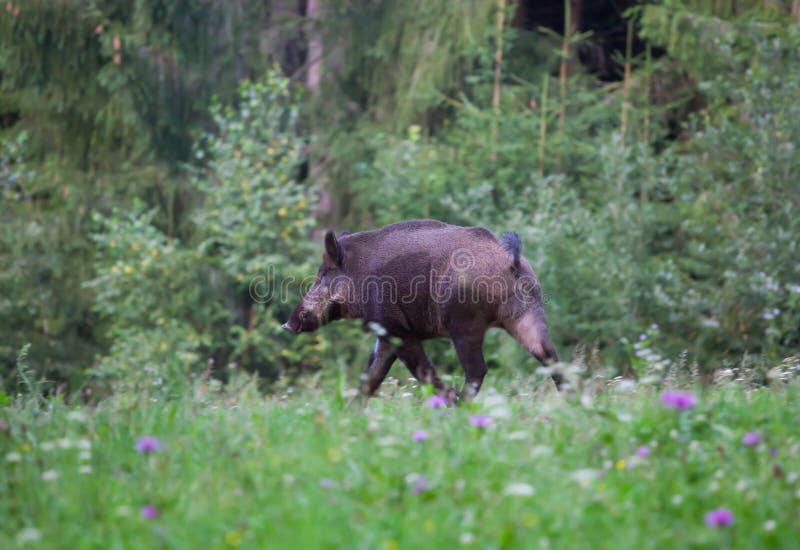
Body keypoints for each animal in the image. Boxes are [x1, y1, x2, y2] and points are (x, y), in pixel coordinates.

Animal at [281, 219, 560, 400]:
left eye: (323, 273)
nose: (287, 324)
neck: (358, 274)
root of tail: (512, 260)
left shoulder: (397, 329)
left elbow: (420, 370)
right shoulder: (385, 335)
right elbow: (371, 377)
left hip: (464, 323)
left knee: (477, 370)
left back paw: (460, 405)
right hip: (527, 313)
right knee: (548, 354)